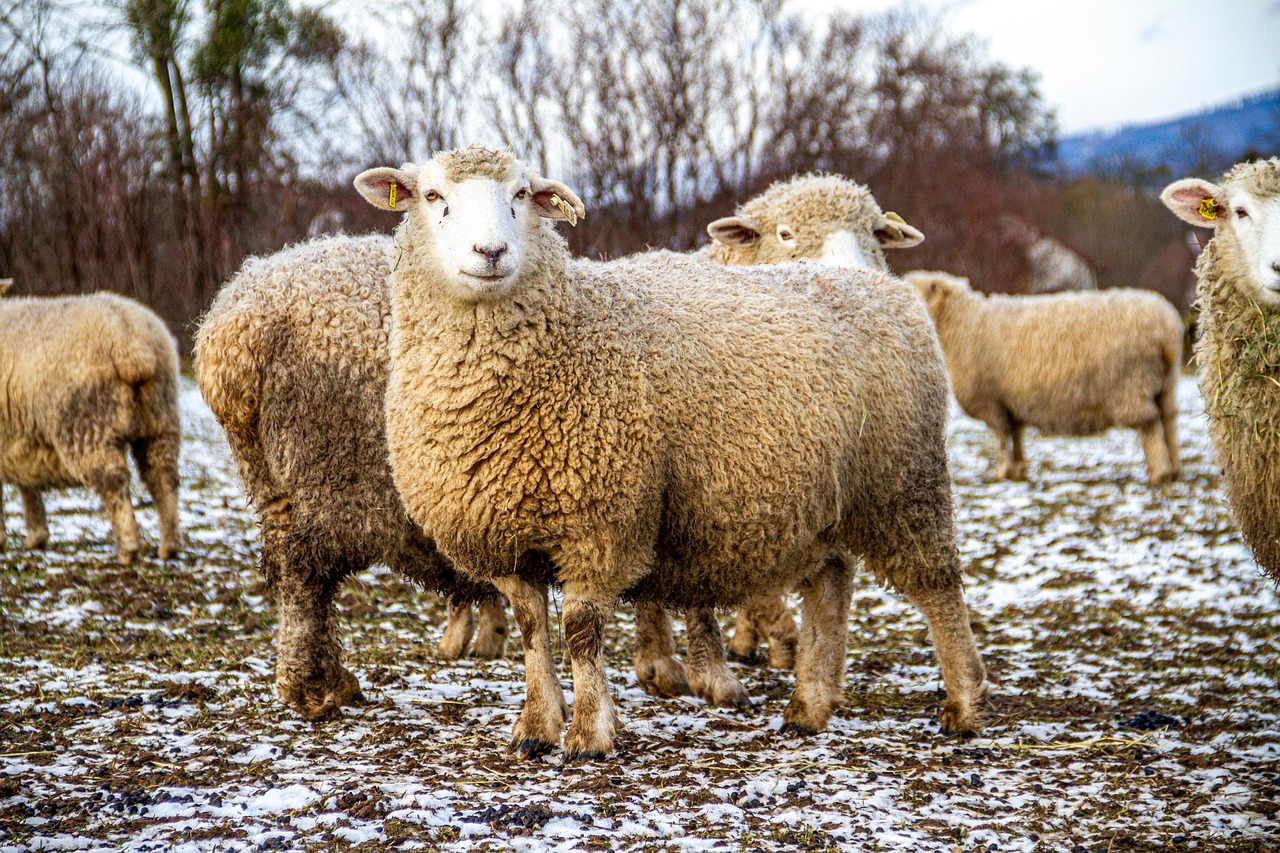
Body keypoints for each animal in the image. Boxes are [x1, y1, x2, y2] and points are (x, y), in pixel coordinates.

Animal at [0, 291, 182, 565]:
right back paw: (169, 547)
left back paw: (128, 549)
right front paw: (36, 537)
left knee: (114, 482)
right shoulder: (20, 438)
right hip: (161, 419)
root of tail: (131, 339)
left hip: (87, 426)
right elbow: (27, 485)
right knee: (163, 477)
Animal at [194, 235, 513, 721]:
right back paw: (315, 688)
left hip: (270, 479)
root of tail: (237, 329)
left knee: (287, 570)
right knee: (307, 571)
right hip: (336, 467)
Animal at [356, 146, 987, 760]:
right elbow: (534, 629)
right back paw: (809, 706)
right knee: (830, 586)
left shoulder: (603, 523)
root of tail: (880, 284)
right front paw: (536, 727)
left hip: (905, 481)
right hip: (825, 501)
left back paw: (963, 706)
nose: (490, 251)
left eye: (522, 193)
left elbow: (581, 630)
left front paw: (590, 735)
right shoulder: (502, 535)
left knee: (939, 589)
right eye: (431, 194)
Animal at [904, 270, 1183, 486]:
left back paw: (1159, 473)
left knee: (1149, 426)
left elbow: (1002, 437)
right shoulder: (1009, 401)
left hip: (1131, 385)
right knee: (1168, 420)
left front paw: (1001, 471)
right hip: (1164, 385)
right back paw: (1174, 467)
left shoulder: (991, 401)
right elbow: (1015, 434)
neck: (962, 323)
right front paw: (1018, 469)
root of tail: (1167, 327)